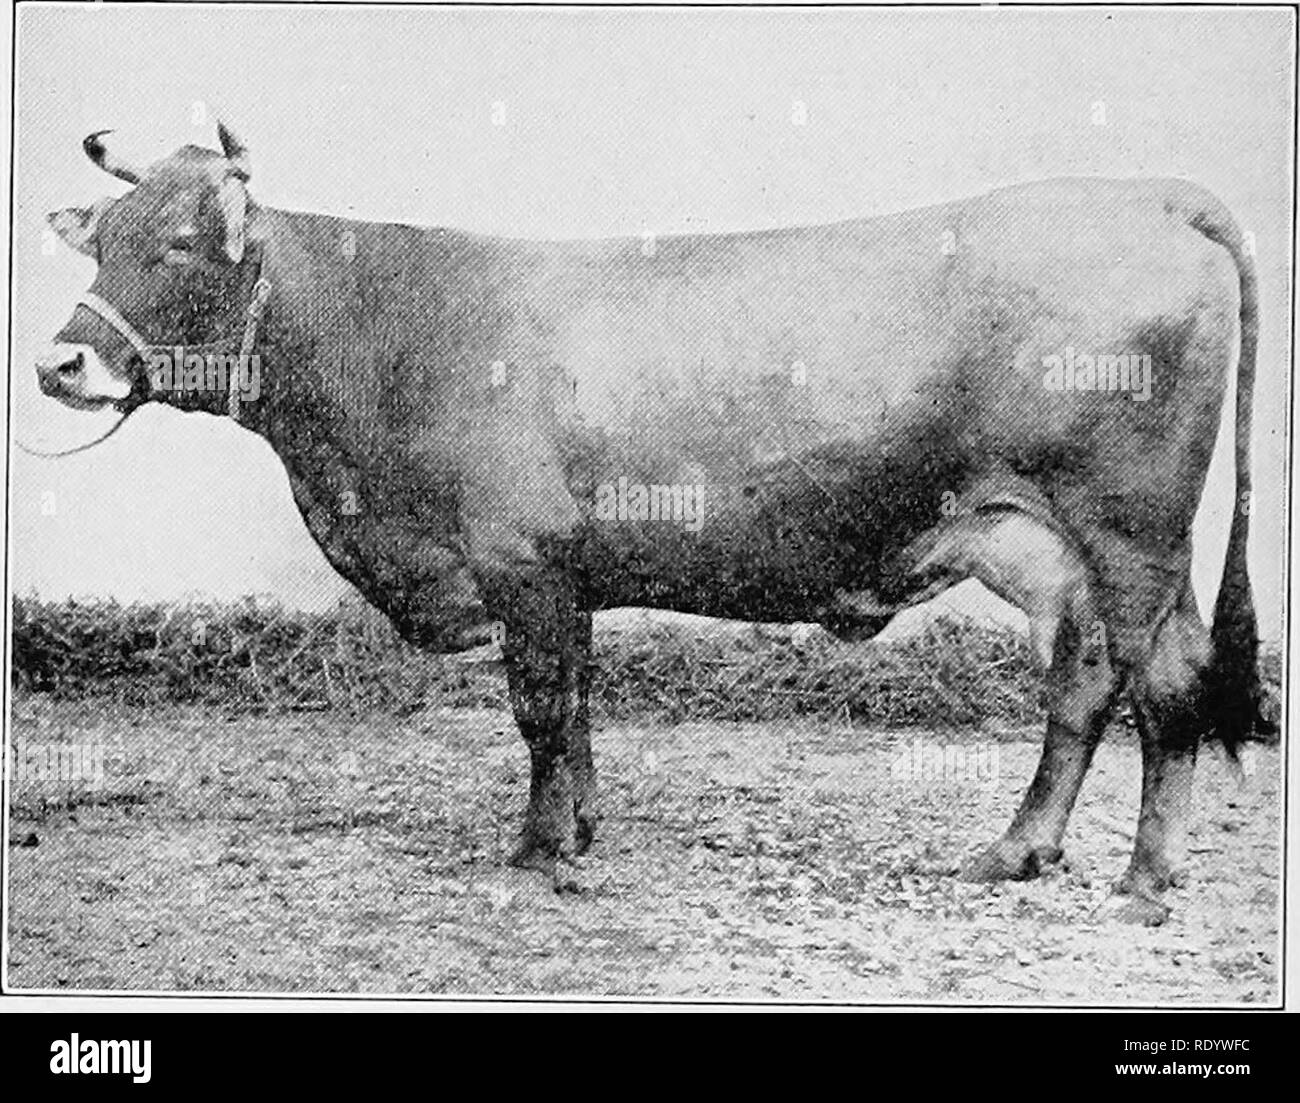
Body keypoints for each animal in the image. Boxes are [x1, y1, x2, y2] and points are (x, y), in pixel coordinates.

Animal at [36, 123, 1269, 924]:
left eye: (180, 243)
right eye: (100, 243)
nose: (60, 364)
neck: (394, 331)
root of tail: (1149, 192)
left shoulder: (520, 560)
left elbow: (539, 709)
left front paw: (538, 849)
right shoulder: (566, 575)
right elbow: (579, 707)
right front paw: (581, 826)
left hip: (1127, 533)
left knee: (1146, 686)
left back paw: (1112, 873)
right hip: (1071, 547)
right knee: (1110, 682)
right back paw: (1052, 856)